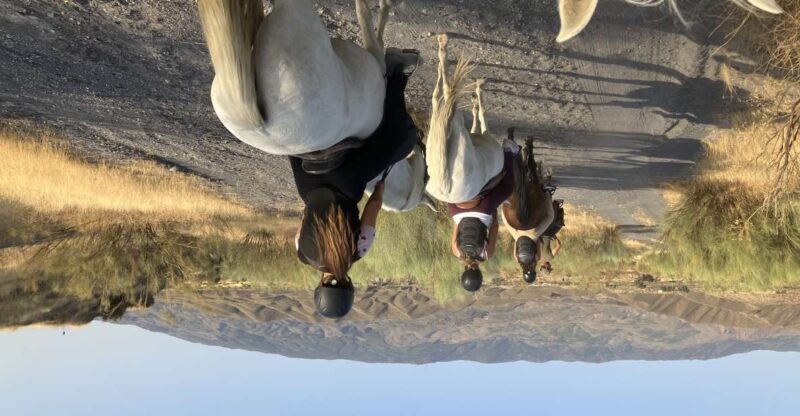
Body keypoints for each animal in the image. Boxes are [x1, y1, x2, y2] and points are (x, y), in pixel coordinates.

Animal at [197, 0, 428, 211]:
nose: (416, 56)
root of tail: (258, 124)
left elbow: (370, 25)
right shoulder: (376, 57)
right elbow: (369, 22)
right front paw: (384, 7)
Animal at [424, 34, 505, 204]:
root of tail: (445, 188)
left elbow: (480, 115)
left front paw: (477, 95)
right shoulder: (483, 134)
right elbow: (481, 115)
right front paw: (477, 96)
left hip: (447, 134)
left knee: (442, 95)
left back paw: (442, 49)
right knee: (443, 95)